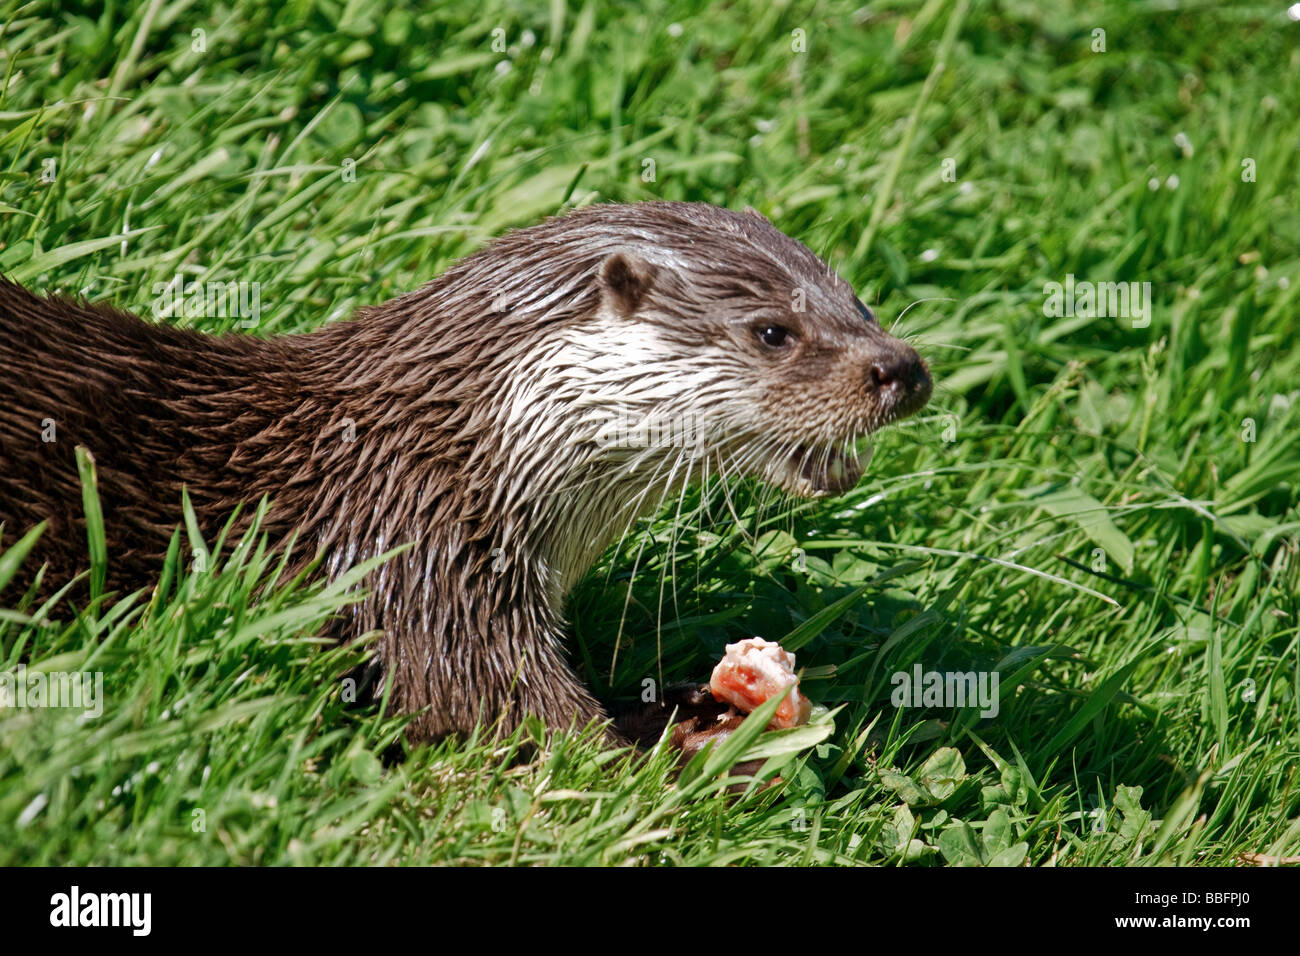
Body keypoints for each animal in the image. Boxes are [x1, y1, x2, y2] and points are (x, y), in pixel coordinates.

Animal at [0, 201, 931, 746]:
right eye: (773, 331)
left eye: (860, 303)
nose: (903, 369)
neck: (448, 457)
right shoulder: (423, 573)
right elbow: (516, 725)